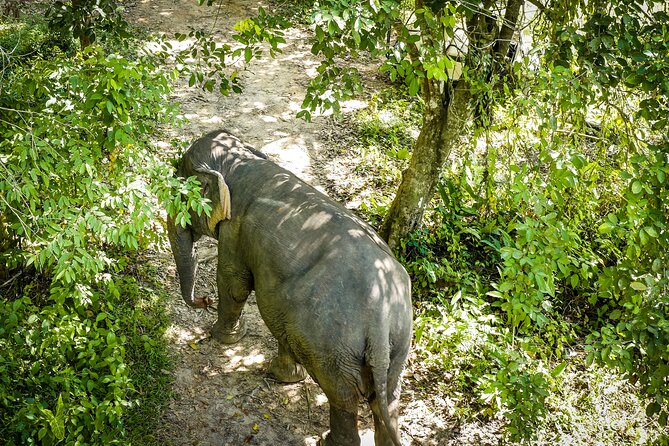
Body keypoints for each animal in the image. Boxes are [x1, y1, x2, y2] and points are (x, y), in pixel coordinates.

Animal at [166, 130, 412, 446]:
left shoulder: (234, 228)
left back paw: (325, 440)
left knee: (342, 397)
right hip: (397, 345)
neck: (239, 162)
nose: (203, 300)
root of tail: (380, 317)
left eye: (179, 194)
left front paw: (222, 337)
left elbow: (234, 282)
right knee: (387, 399)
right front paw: (284, 376)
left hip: (332, 346)